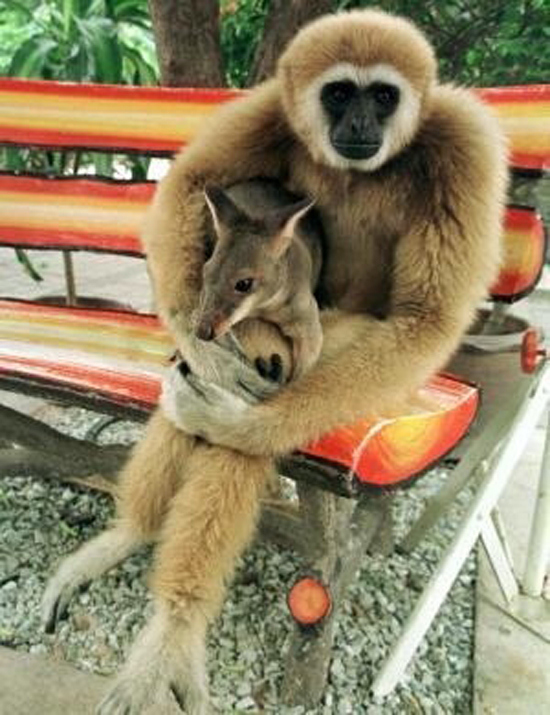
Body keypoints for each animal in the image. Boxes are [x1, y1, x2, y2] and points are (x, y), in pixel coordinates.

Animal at [41, 9, 508, 714]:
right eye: (340, 93)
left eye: (383, 95)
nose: (360, 122)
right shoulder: (265, 109)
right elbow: (186, 186)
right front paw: (203, 349)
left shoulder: (463, 144)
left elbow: (425, 320)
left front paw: (242, 423)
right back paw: (132, 538)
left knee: (260, 406)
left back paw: (175, 626)